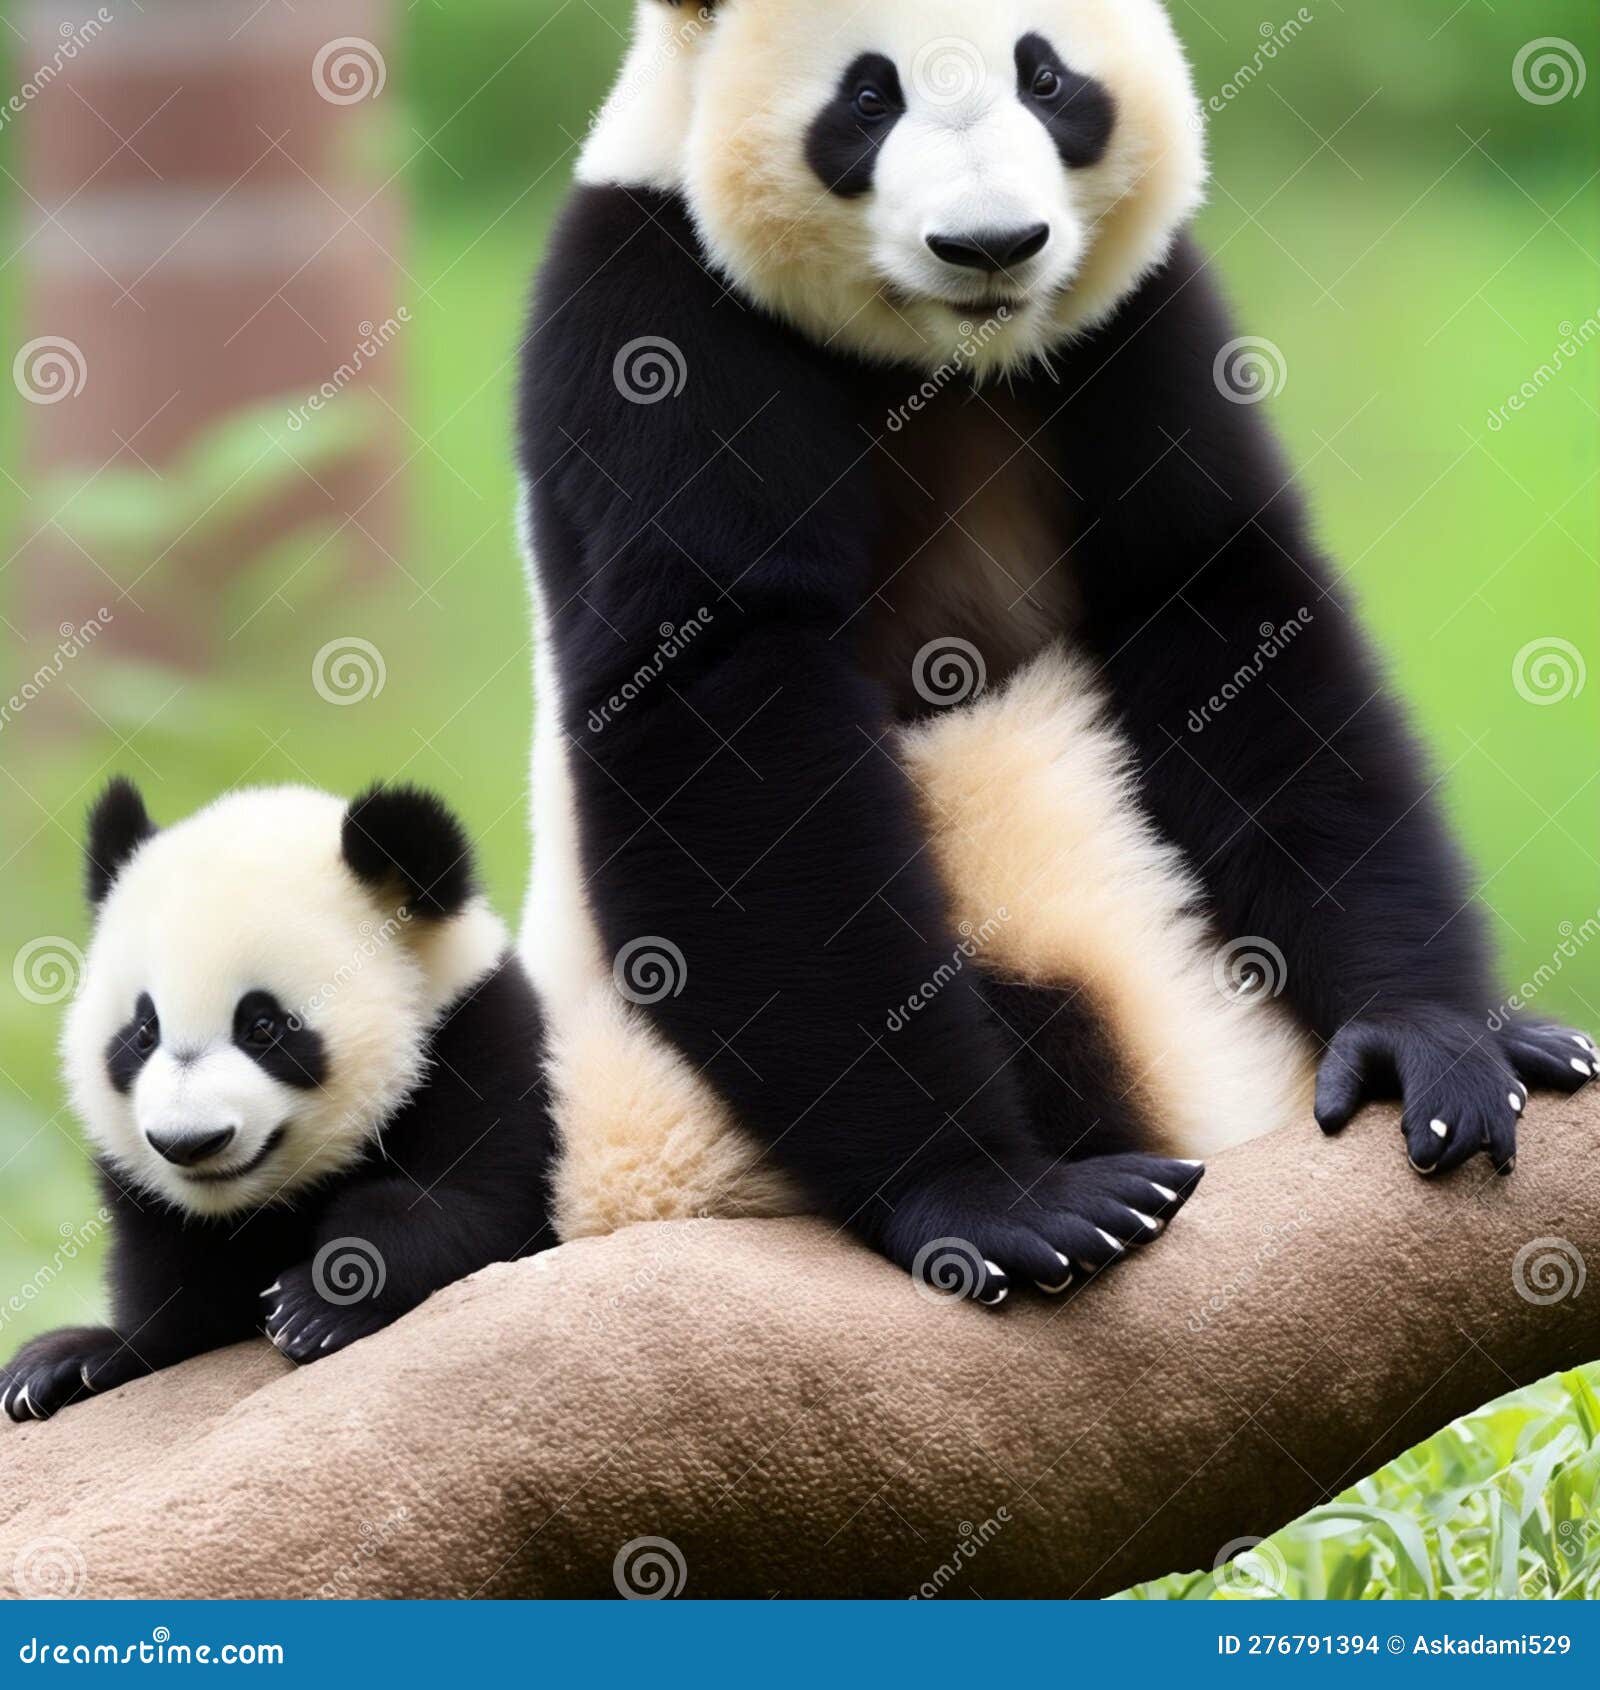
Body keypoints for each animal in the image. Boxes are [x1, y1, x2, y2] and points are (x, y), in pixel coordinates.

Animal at [0, 779, 554, 1421]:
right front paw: (72, 1359)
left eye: (263, 1027)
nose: (190, 1143)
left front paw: (315, 1304)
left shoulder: (483, 1048)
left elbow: (488, 1211)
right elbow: (178, 1293)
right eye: (143, 1032)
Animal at [516, 0, 1598, 1305]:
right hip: (653, 1103)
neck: (938, 360)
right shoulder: (651, 312)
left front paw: (1427, 1038)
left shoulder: (1135, 315)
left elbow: (1219, 604)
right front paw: (989, 1196)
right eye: (867, 100)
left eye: (1044, 77)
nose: (992, 245)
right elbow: (723, 708)